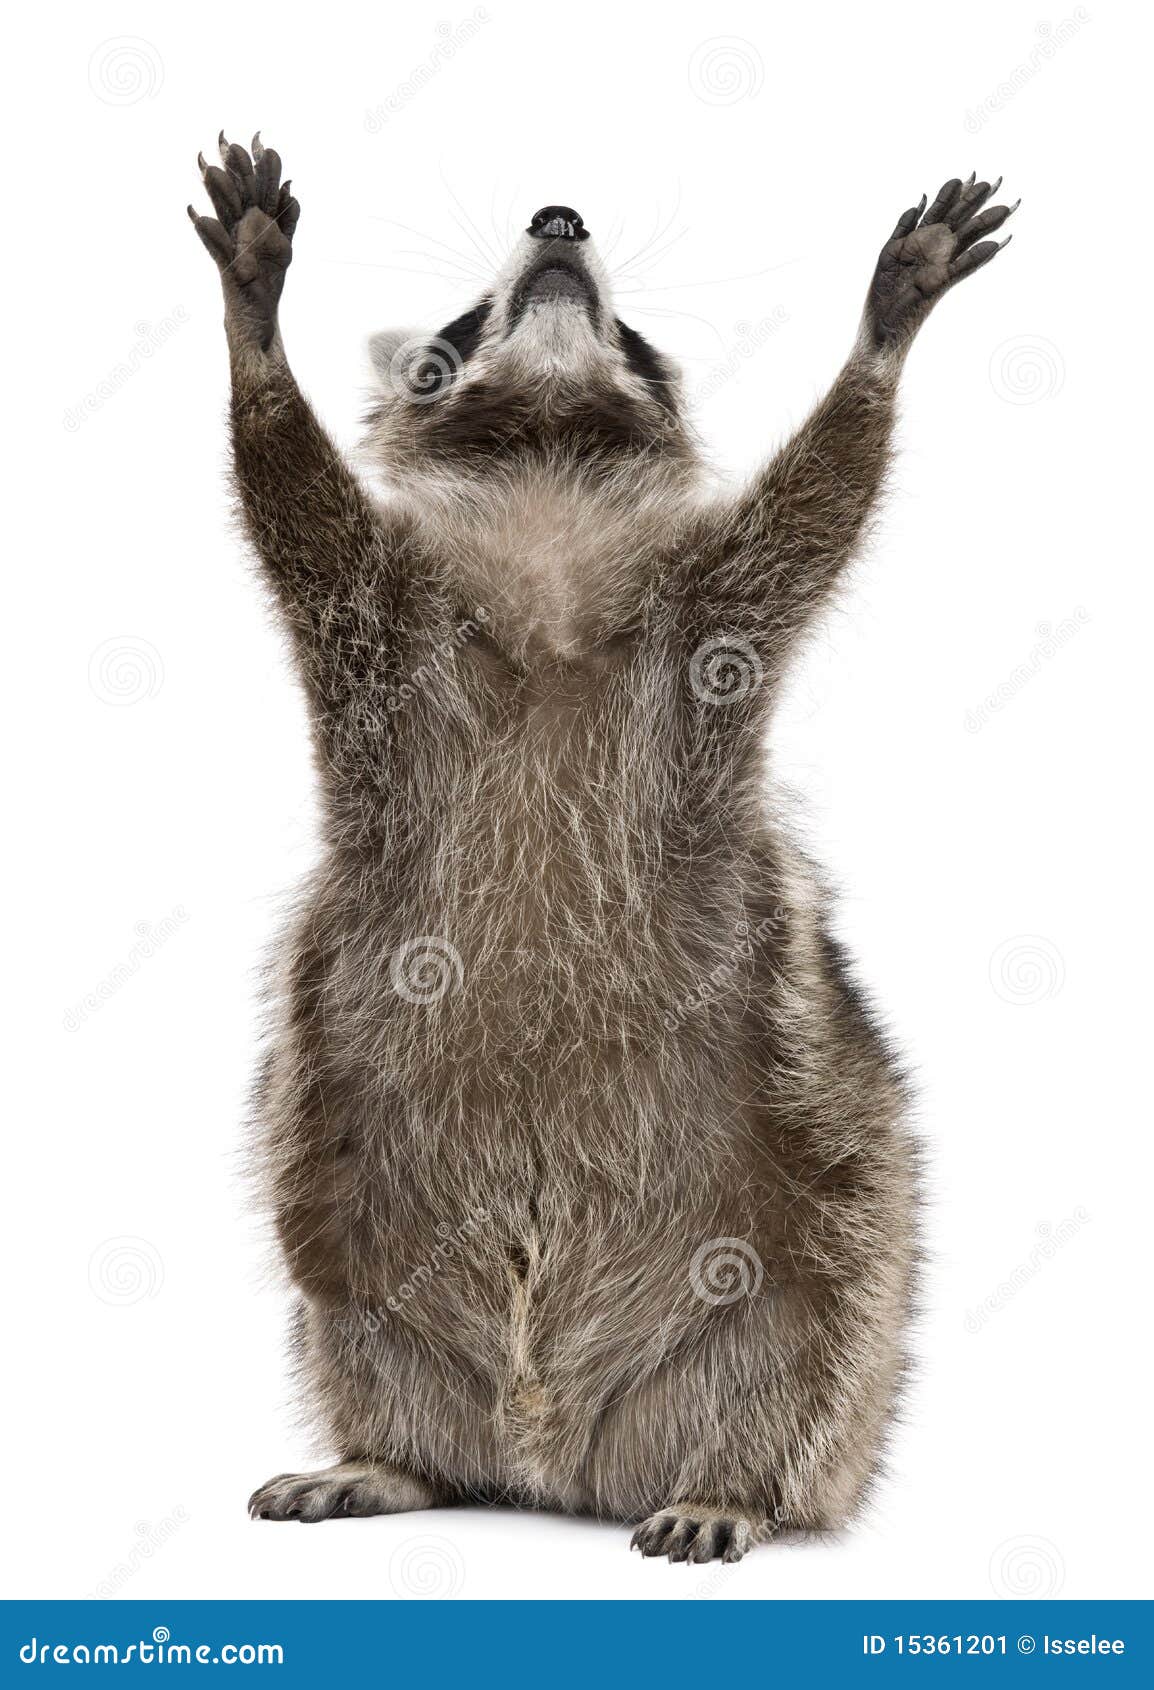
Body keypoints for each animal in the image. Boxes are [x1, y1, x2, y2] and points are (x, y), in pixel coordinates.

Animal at [189, 139, 1015, 1563]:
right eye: (468, 319)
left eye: (629, 336)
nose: (560, 217)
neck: (545, 474)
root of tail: (554, 1460)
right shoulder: (374, 614)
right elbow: (292, 498)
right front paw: (257, 331)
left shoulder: (707, 622)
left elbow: (815, 508)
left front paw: (880, 342)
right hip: (342, 1220)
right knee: (351, 1322)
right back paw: (389, 1456)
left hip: (828, 1234)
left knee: (813, 1349)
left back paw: (730, 1481)